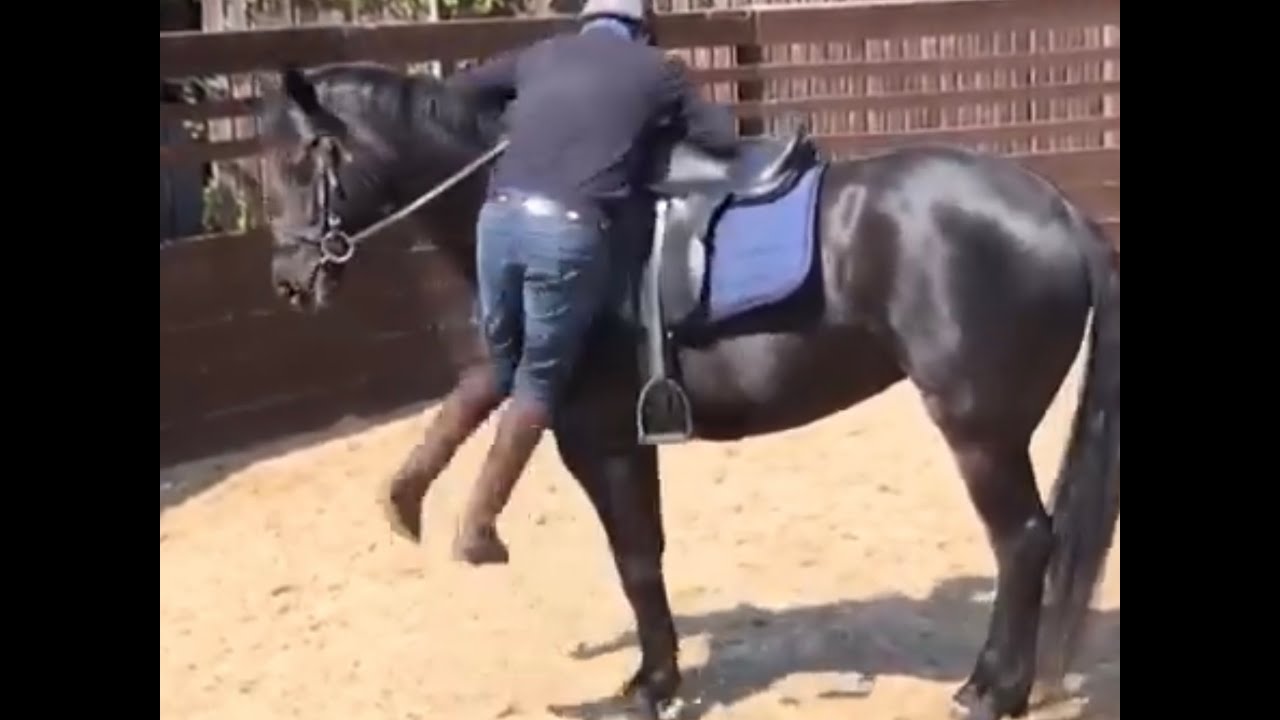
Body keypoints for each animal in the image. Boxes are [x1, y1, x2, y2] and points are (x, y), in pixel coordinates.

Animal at [256, 61, 1119, 720]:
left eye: (304, 163)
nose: (291, 281)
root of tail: (1057, 210)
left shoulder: (596, 439)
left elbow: (634, 556)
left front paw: (650, 685)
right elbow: (646, 550)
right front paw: (657, 675)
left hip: (979, 430)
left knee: (1023, 542)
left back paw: (991, 691)